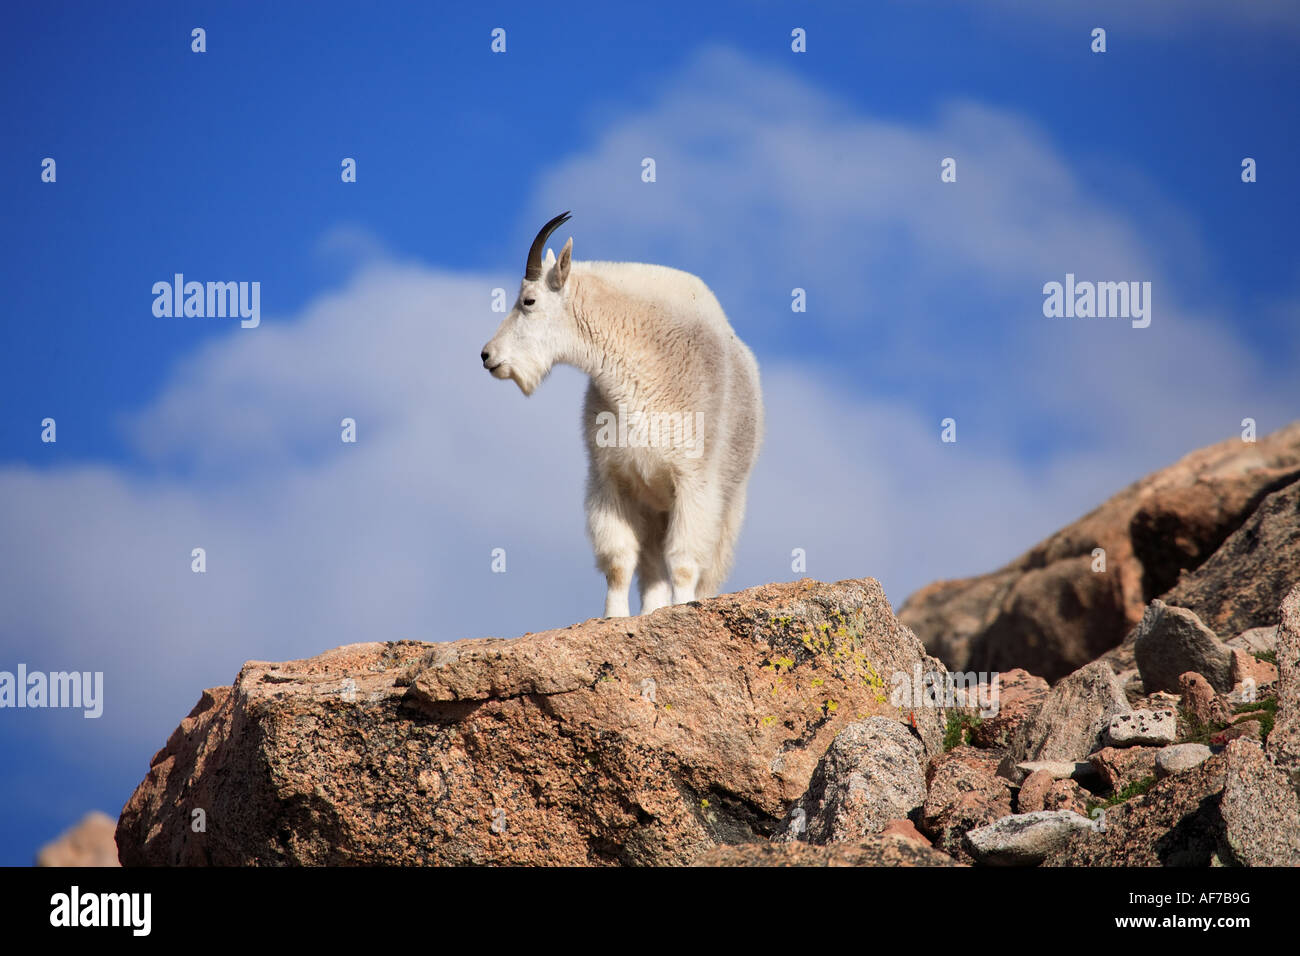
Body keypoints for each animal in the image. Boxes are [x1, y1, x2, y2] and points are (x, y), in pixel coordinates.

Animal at [481, 212, 764, 617]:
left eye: (528, 301)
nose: (488, 356)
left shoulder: (694, 483)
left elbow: (683, 561)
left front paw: (682, 610)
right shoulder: (611, 481)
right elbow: (618, 560)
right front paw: (613, 618)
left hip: (728, 506)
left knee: (705, 570)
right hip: (654, 509)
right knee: (651, 569)